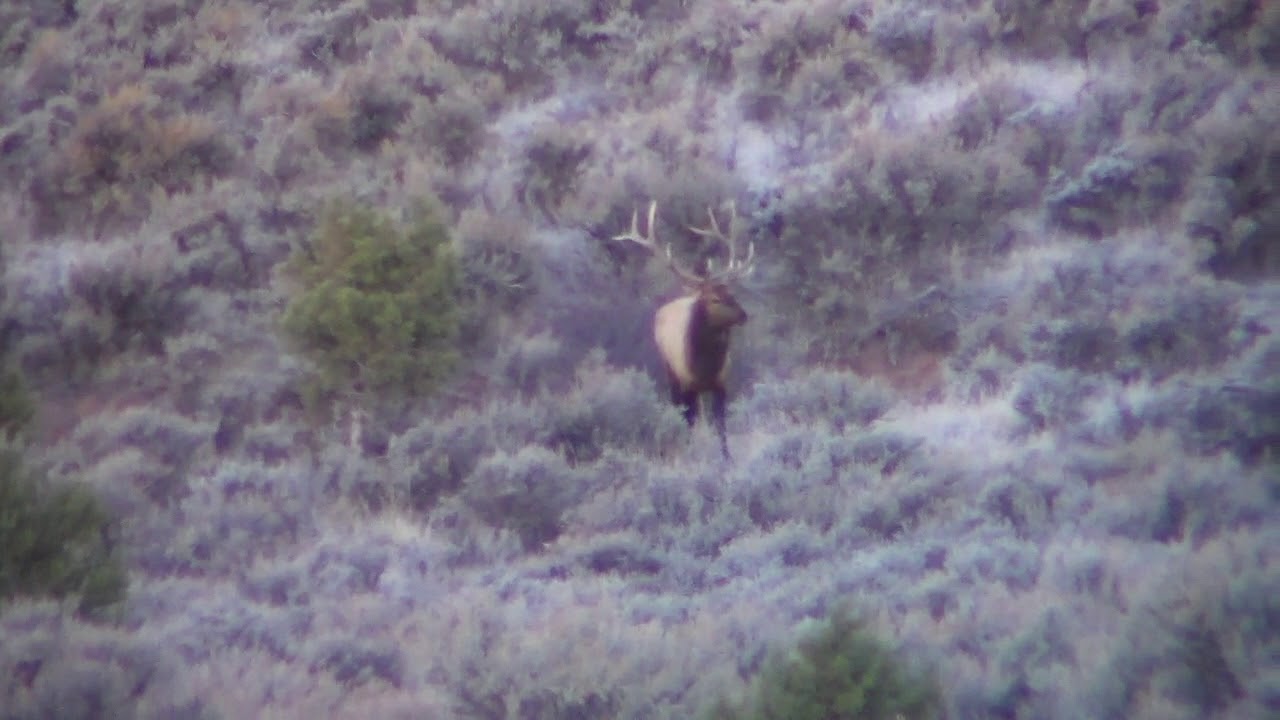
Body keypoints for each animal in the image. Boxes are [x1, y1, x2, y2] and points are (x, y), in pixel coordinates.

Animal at [614, 200, 756, 459]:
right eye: (714, 299)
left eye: (731, 293)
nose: (743, 315)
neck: (704, 368)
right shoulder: (687, 383)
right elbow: (690, 421)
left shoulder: (721, 383)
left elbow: (721, 426)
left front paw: (727, 458)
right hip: (671, 373)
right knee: (683, 412)